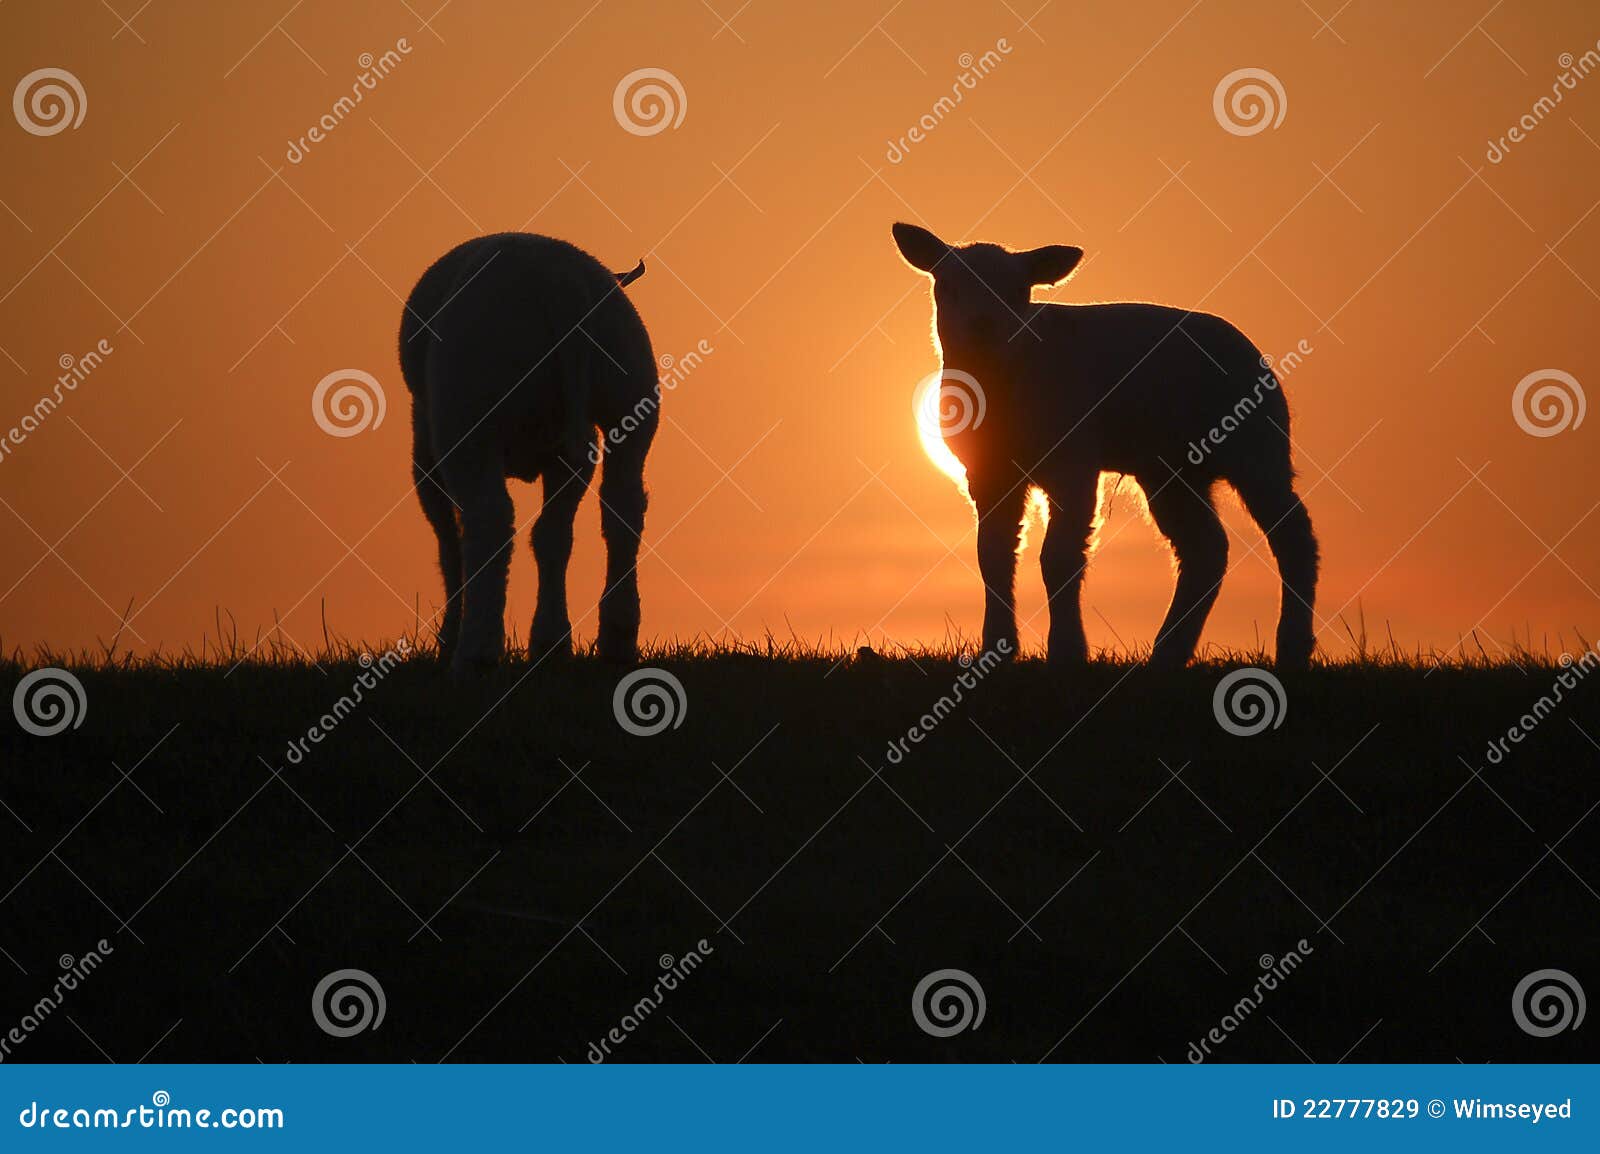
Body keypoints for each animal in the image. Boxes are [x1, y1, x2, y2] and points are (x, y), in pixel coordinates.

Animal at [400, 232, 657, 673]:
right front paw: (553, 642)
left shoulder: (428, 453)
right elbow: (554, 537)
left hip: (467, 411)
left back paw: (475, 650)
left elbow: (449, 543)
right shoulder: (566, 455)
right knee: (621, 510)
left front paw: (447, 640)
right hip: (627, 390)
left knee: (489, 522)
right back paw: (612, 639)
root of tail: (557, 278)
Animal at [892, 222, 1319, 670]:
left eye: (1019, 291)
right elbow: (993, 555)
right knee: (1206, 549)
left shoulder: (1073, 463)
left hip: (1257, 448)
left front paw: (1066, 650)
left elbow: (1058, 559)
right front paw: (996, 649)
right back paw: (1167, 652)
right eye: (947, 286)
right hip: (1171, 470)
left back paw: (1292, 647)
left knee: (1293, 536)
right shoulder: (989, 472)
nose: (983, 328)